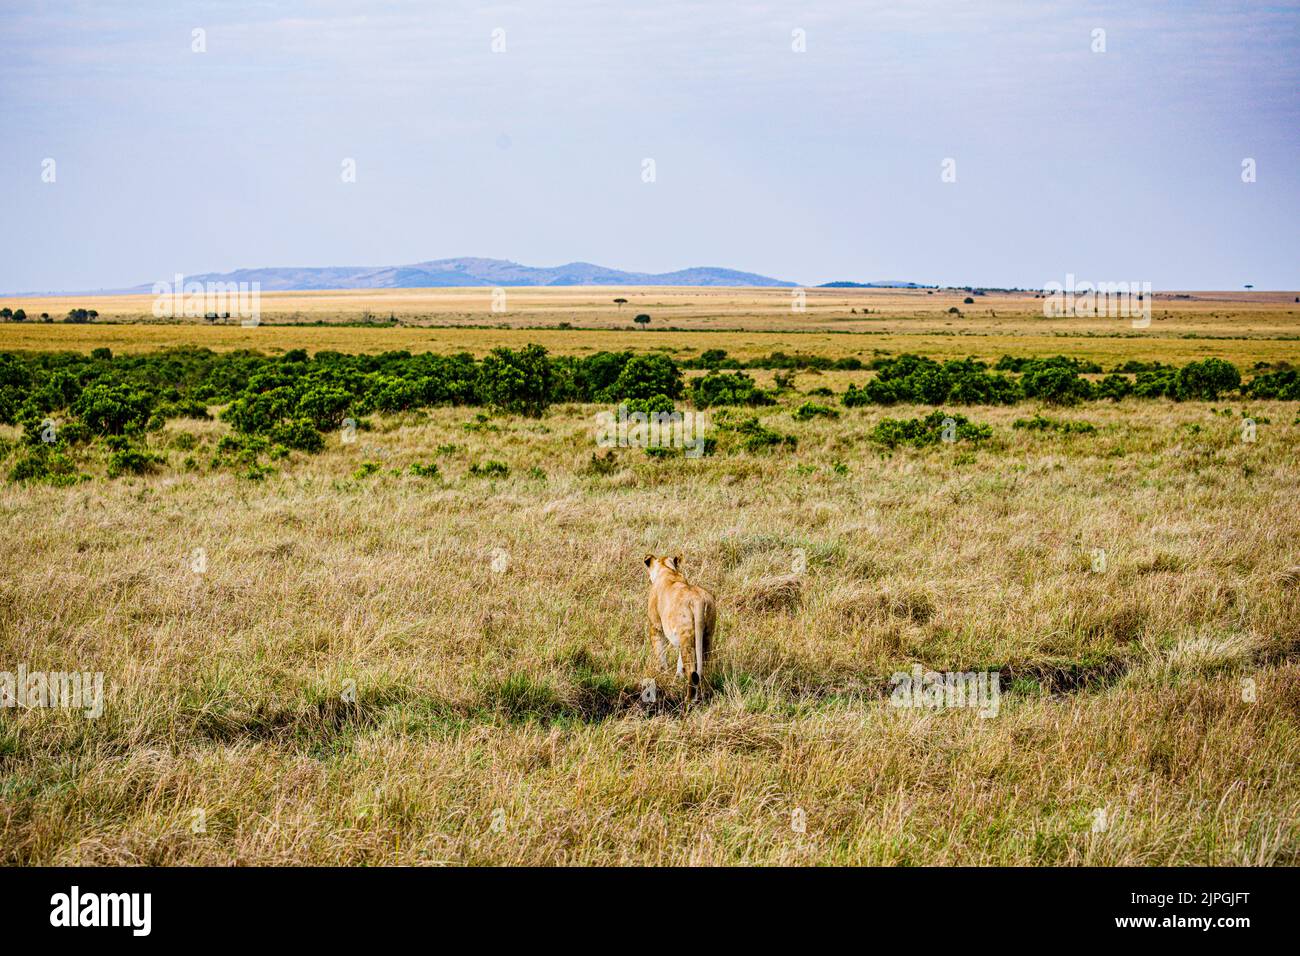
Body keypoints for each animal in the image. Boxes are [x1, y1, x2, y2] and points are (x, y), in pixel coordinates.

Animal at [644, 554, 717, 701]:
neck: (667, 570)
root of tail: (698, 599)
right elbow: (679, 662)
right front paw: (677, 678)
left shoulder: (656, 626)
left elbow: (660, 653)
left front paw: (662, 673)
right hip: (707, 635)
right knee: (704, 667)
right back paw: (704, 693)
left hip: (686, 634)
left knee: (692, 673)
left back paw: (688, 700)